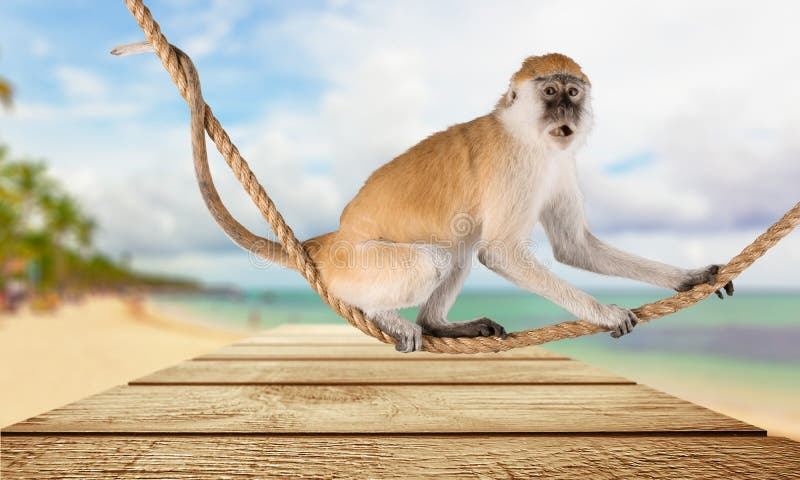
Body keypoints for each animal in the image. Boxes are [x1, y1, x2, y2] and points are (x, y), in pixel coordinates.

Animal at [114, 43, 734, 352]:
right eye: (551, 91)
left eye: (574, 93)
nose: (566, 110)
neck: (529, 133)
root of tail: (330, 242)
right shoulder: (519, 164)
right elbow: (502, 253)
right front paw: (606, 311)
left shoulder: (558, 163)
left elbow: (575, 247)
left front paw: (692, 277)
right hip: (359, 266)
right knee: (439, 255)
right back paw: (387, 317)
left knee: (456, 247)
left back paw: (438, 325)